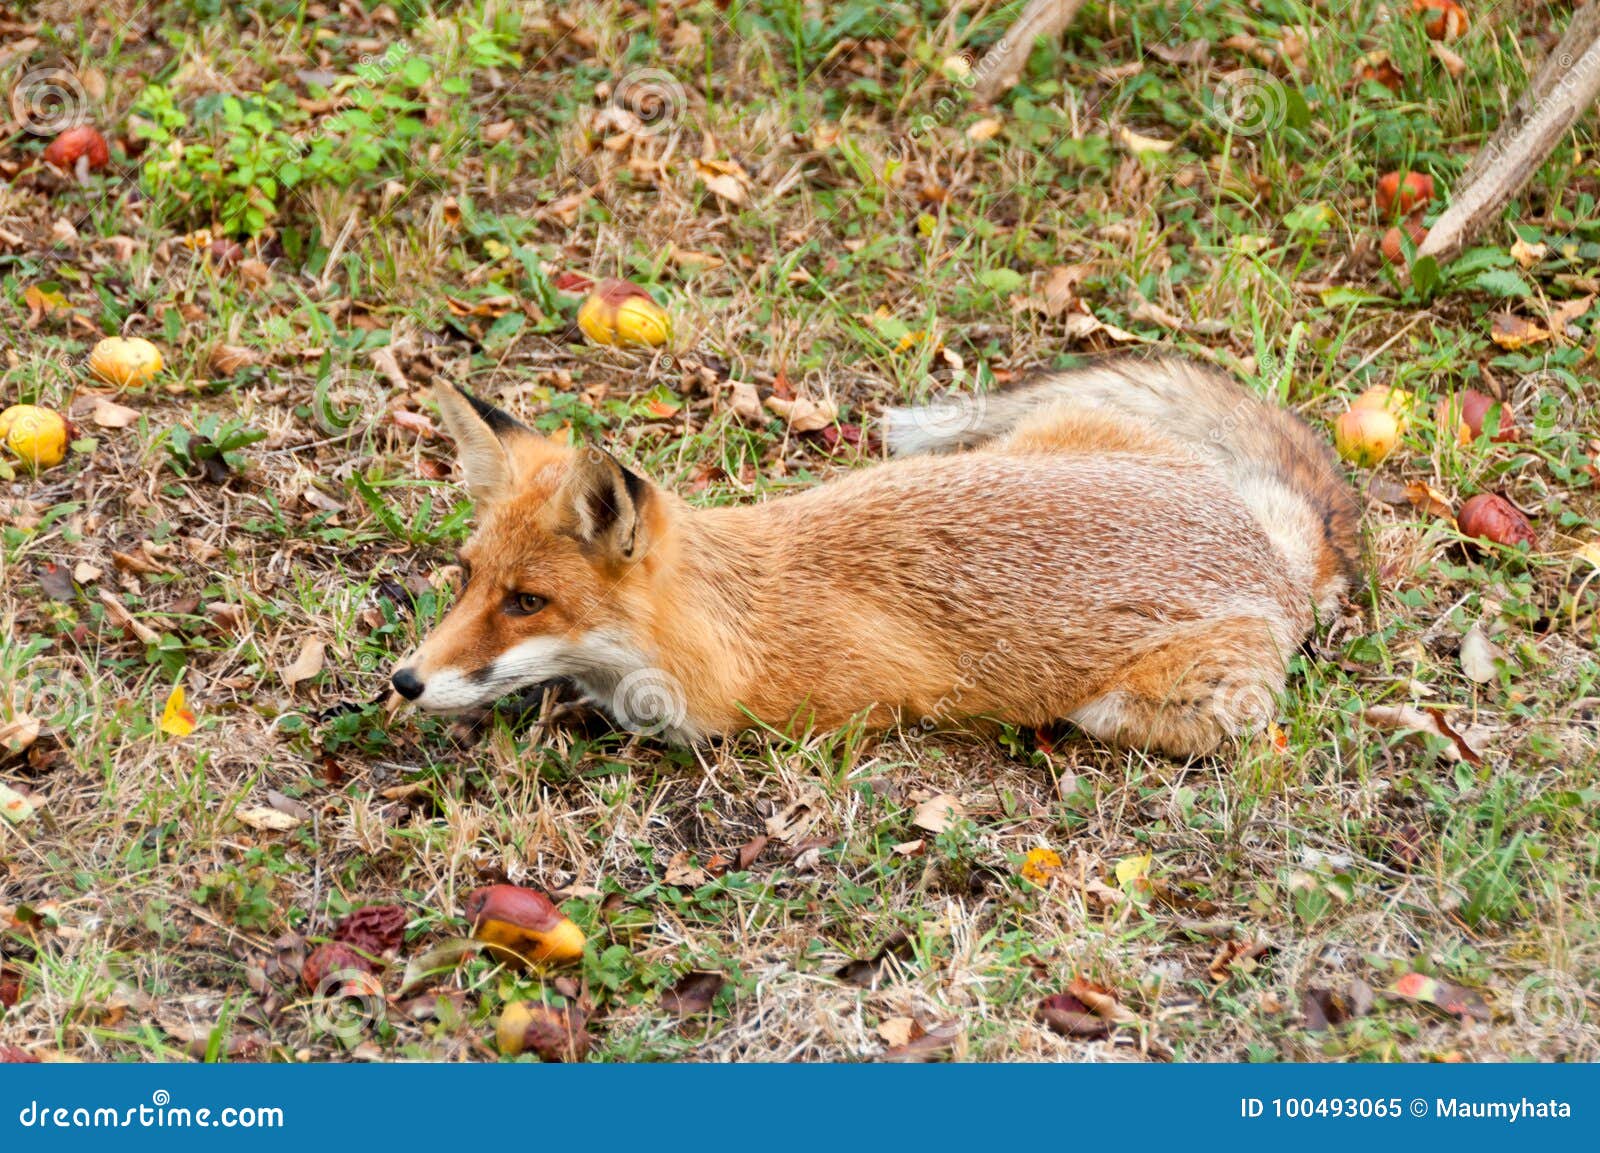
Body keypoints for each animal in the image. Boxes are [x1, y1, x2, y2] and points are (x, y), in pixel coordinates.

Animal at [390, 356, 1359, 757]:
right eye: (467, 578)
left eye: (527, 602)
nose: (403, 681)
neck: (726, 622)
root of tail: (1267, 547)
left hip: (1140, 706)